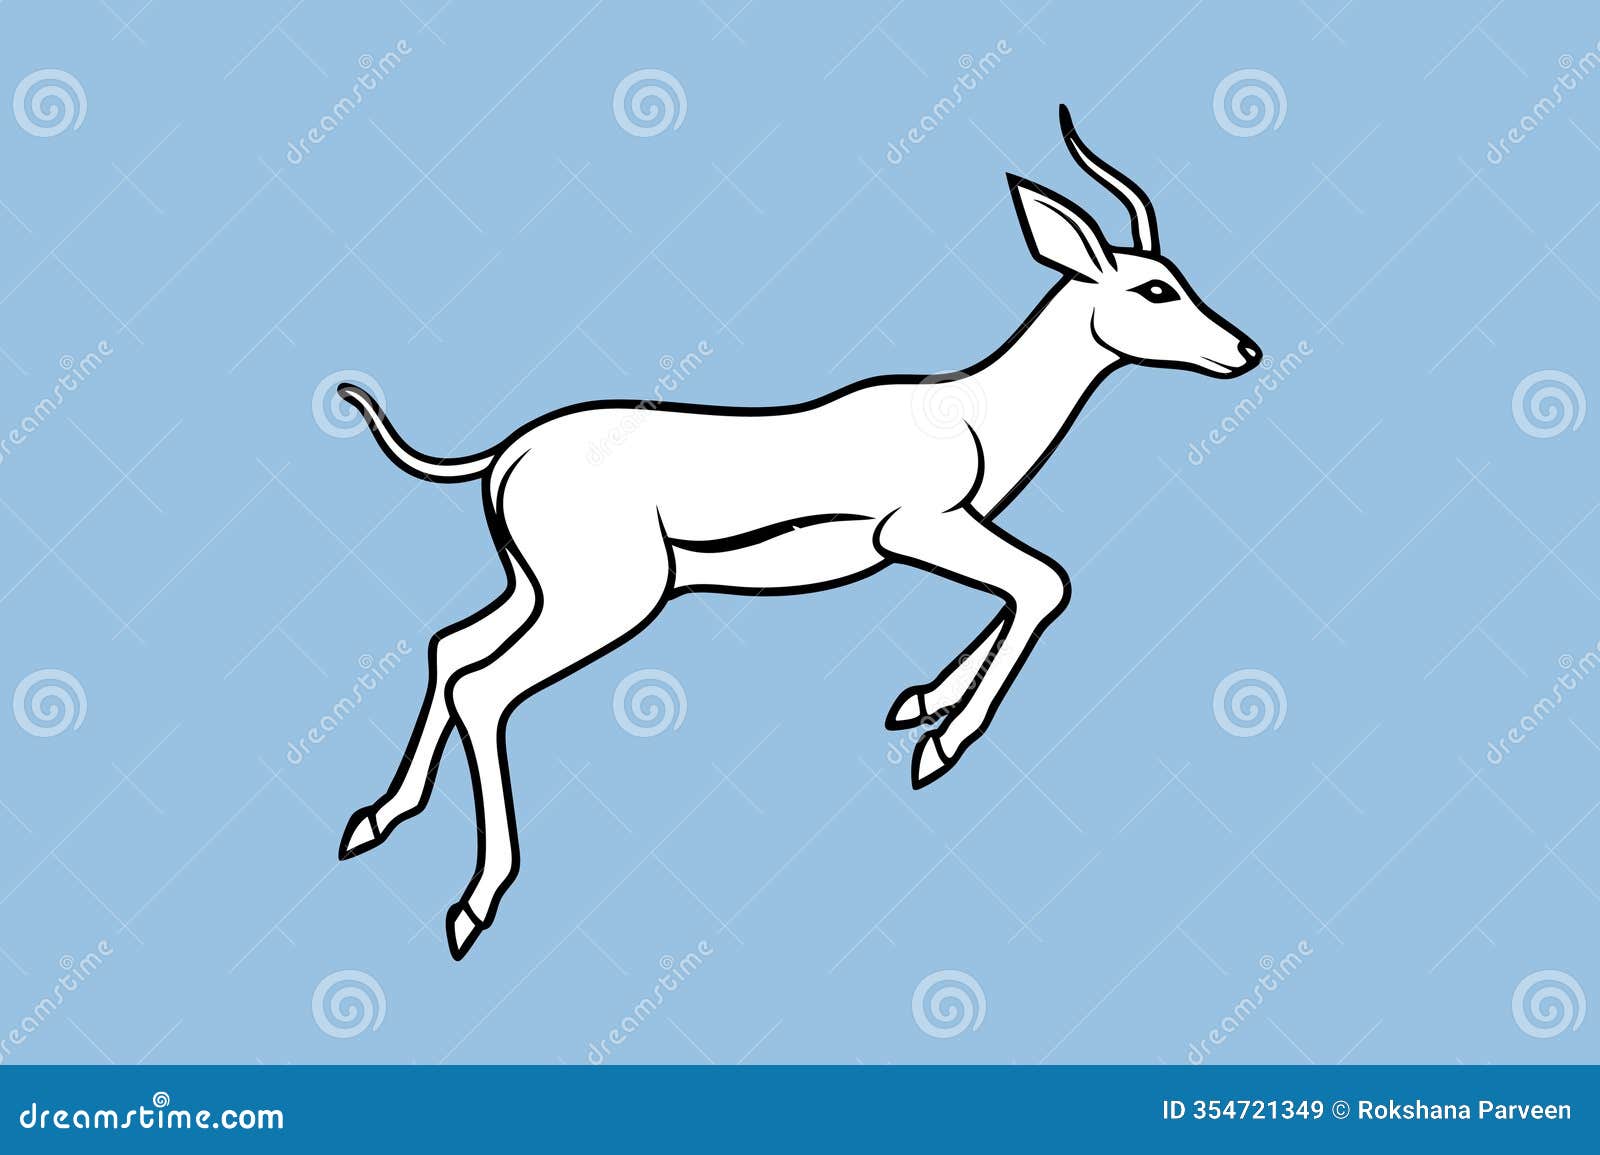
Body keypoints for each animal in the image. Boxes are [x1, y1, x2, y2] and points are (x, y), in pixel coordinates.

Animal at [337, 105, 1259, 959]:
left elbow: (1017, 592)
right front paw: (940, 745)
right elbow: (1045, 582)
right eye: (1154, 289)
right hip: (608, 603)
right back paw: (473, 905)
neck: (979, 412)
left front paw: (920, 703)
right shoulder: (917, 530)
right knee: (483, 686)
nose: (1245, 349)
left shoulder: (959, 530)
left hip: (539, 590)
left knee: (449, 647)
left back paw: (375, 819)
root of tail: (505, 452)